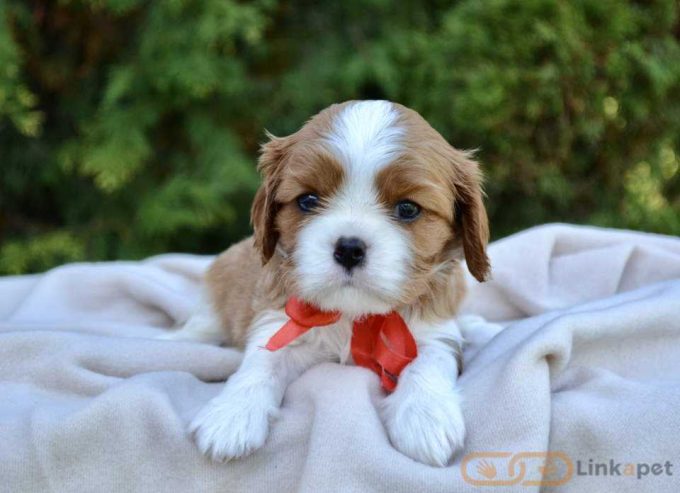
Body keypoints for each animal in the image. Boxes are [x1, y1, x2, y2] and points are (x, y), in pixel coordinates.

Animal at [169, 100, 488, 466]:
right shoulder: (279, 323)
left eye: (408, 209)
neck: (355, 316)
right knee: (200, 326)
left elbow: (430, 361)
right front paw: (232, 415)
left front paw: (425, 417)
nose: (349, 248)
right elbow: (260, 363)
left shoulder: (435, 331)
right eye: (307, 201)